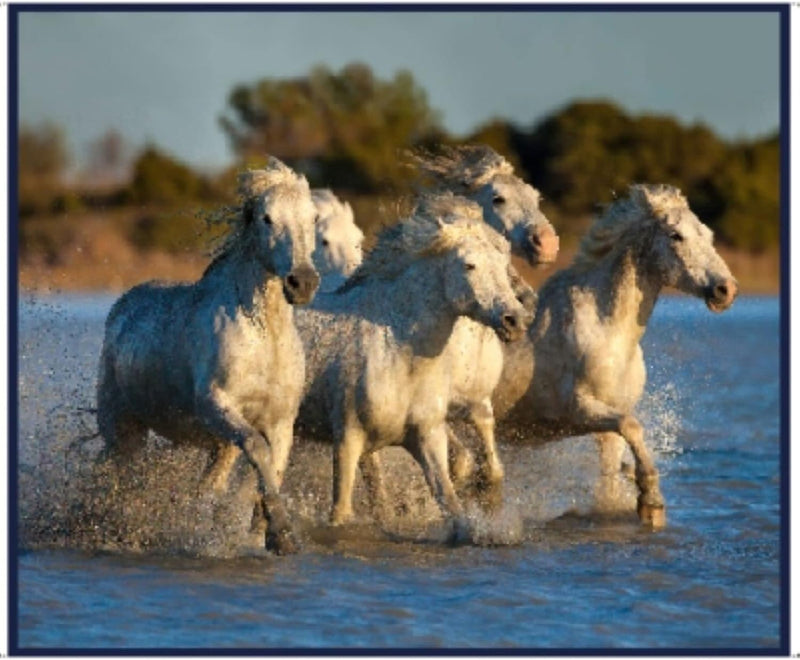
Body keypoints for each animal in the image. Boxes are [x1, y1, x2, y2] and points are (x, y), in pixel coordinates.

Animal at [95, 157, 320, 555]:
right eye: (267, 218)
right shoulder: (217, 405)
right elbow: (256, 450)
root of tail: (121, 307)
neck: (265, 336)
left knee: (207, 484)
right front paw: (280, 533)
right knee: (117, 476)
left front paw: (268, 535)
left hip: (211, 444)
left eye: (313, 218)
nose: (302, 283)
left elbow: (267, 472)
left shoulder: (280, 422)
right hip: (122, 427)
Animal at [295, 193, 532, 539]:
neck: (398, 351)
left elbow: (452, 501)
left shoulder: (428, 434)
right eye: (469, 265)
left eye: (503, 265)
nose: (515, 320)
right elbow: (340, 513)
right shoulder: (348, 438)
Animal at [491, 184, 738, 528]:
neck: (608, 333)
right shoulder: (579, 409)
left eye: (708, 234)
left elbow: (613, 466)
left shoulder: (609, 422)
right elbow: (632, 427)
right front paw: (651, 501)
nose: (725, 289)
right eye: (676, 235)